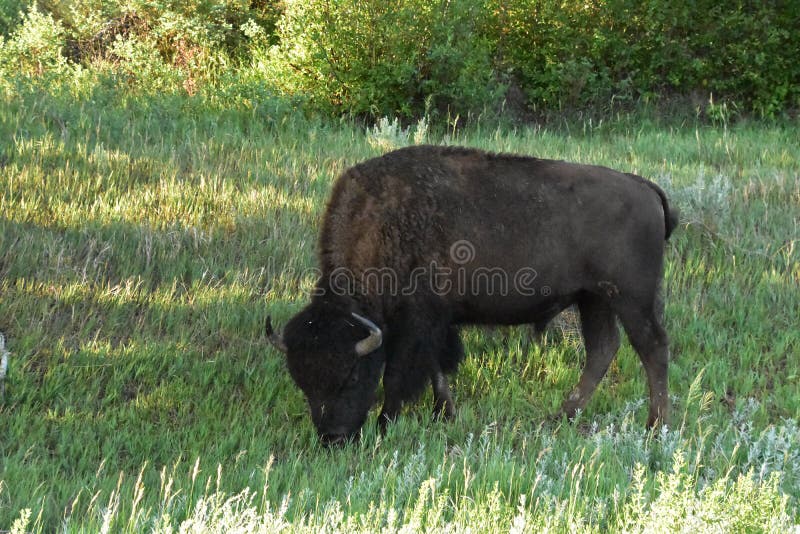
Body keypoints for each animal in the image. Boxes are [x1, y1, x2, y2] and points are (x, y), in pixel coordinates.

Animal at [267, 145, 678, 445]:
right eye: (303, 382)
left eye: (351, 376)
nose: (333, 438)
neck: (385, 223)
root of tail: (644, 187)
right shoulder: (435, 324)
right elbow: (437, 368)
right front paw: (444, 413)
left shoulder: (417, 322)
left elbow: (398, 376)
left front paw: (386, 423)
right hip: (594, 299)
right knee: (602, 349)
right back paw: (561, 417)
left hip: (630, 298)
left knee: (653, 348)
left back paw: (654, 427)